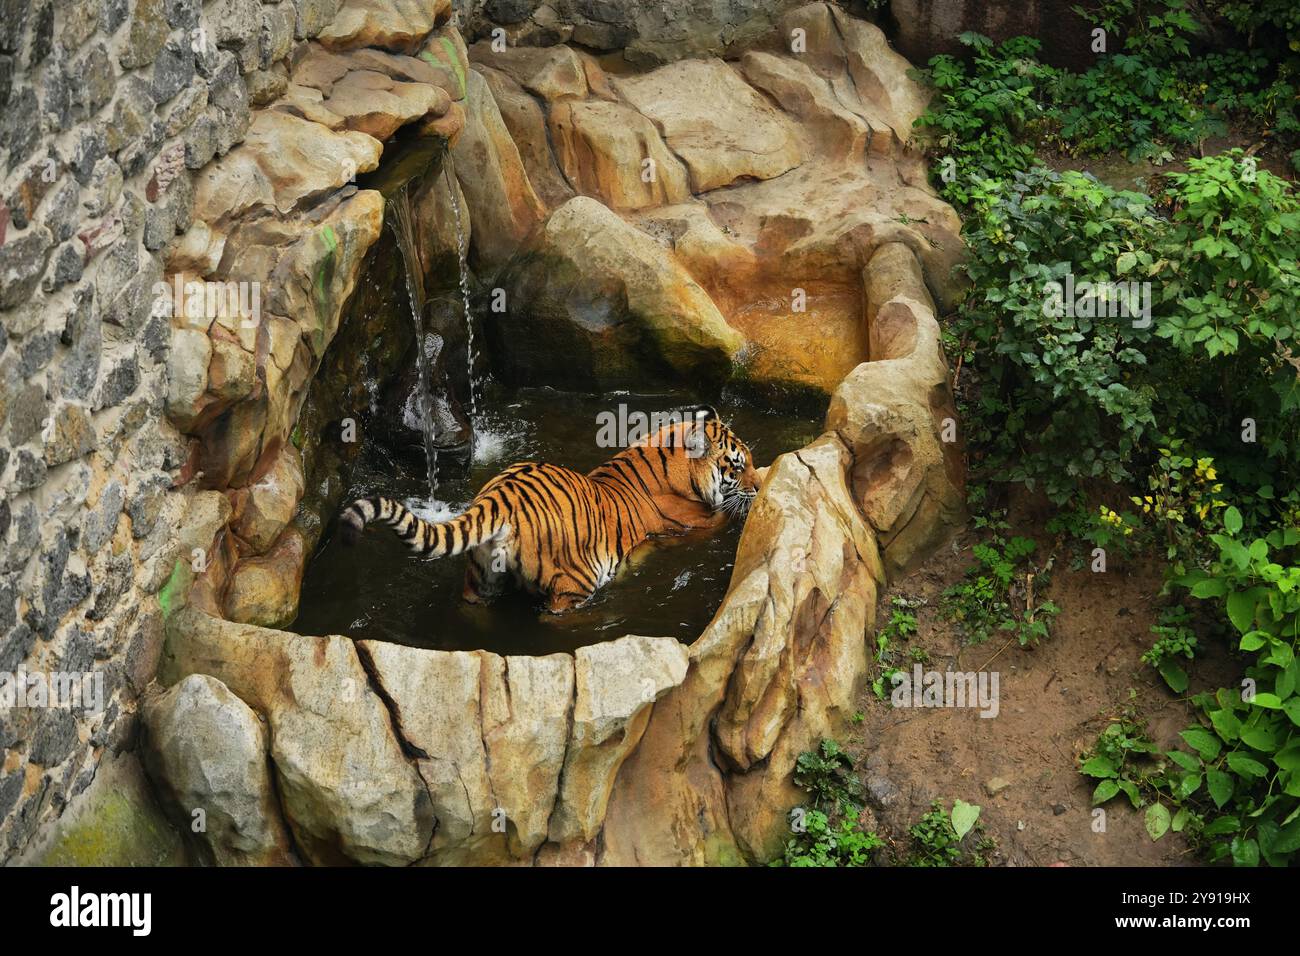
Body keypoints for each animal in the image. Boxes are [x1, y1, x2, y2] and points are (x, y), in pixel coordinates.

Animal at [338, 406, 764, 613]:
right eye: (737, 464)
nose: (759, 487)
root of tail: (499, 494)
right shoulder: (696, 525)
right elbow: (727, 514)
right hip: (573, 583)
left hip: (480, 581)